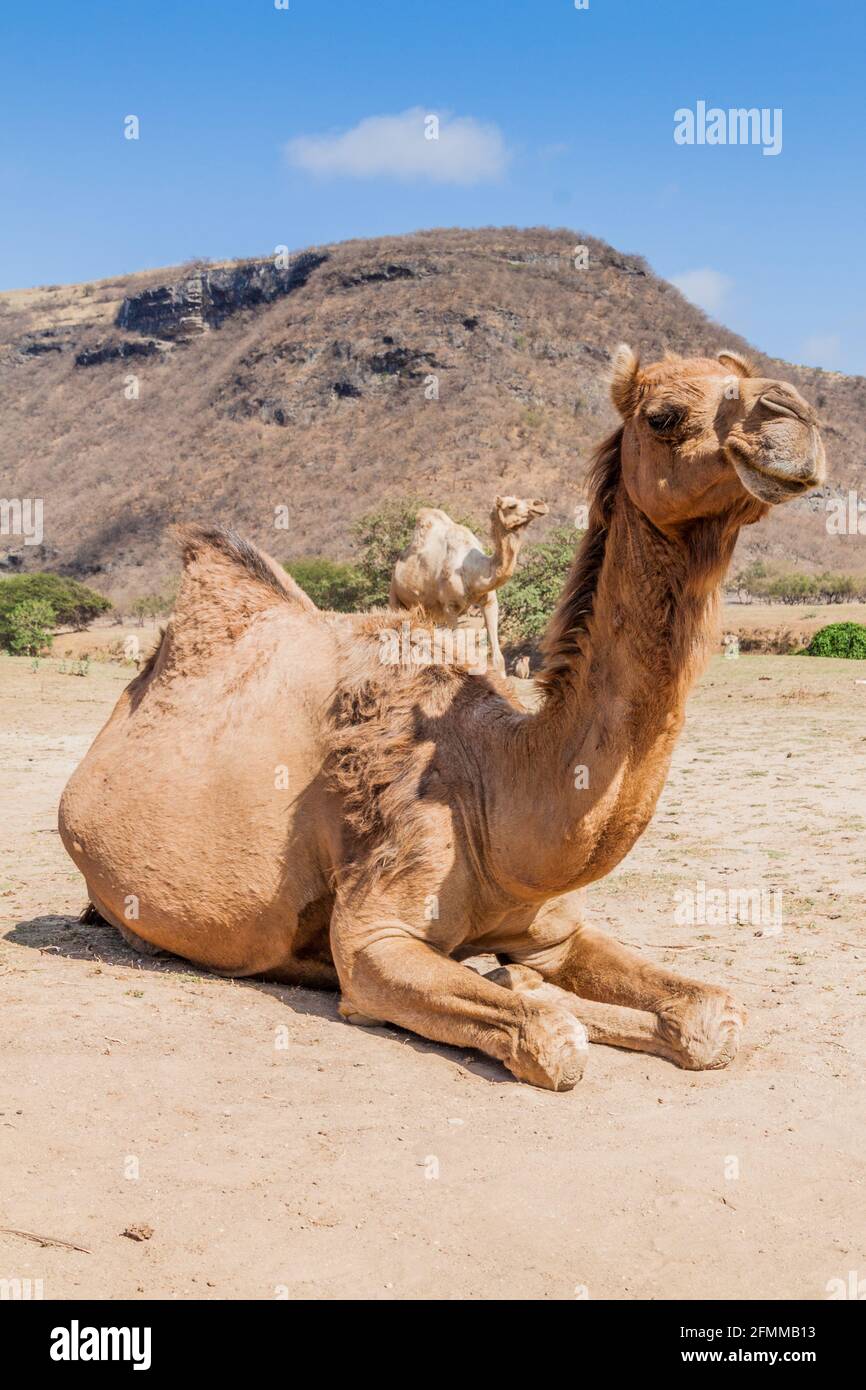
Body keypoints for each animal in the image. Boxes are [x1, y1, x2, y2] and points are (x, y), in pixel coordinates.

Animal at [389, 496, 548, 672]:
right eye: (511, 505)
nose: (540, 504)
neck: (473, 573)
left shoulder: (490, 602)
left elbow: (498, 658)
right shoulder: (450, 607)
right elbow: (459, 652)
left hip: (427, 612)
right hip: (395, 597)